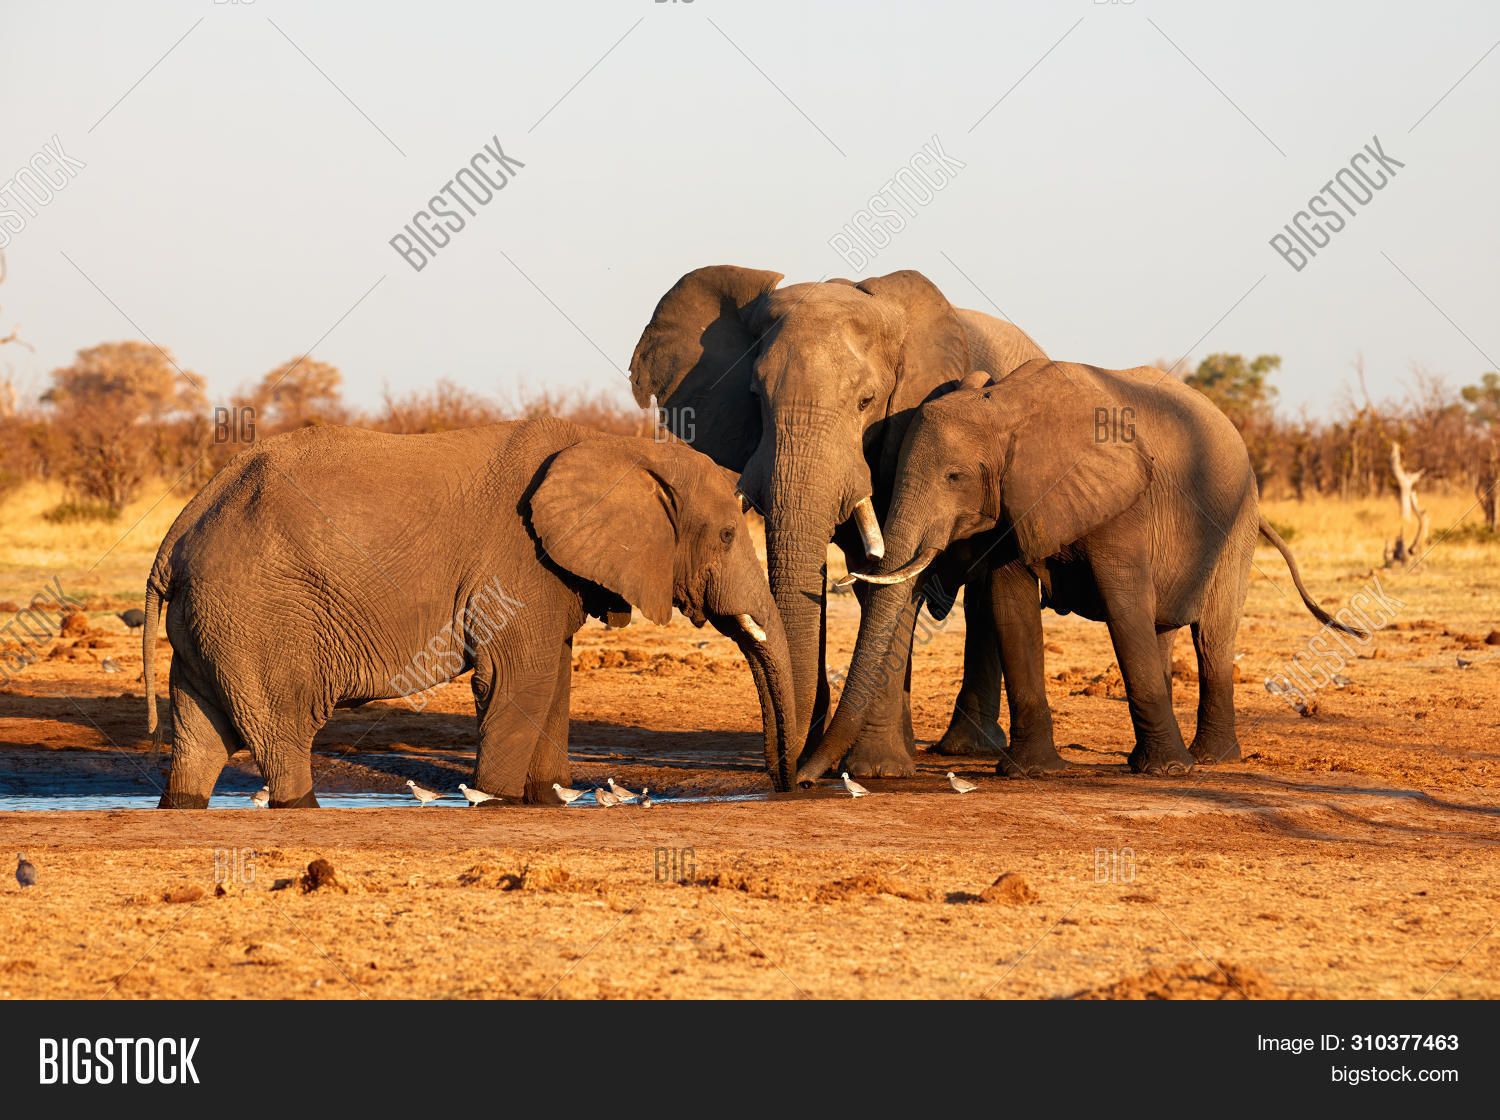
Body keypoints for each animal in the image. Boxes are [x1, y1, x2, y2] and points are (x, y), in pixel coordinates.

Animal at [143, 417, 796, 808]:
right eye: (727, 535)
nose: (790, 786)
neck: (618, 443)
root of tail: (177, 532)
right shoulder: (518, 563)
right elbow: (514, 678)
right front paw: (496, 800)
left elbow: (552, 680)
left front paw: (546, 797)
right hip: (257, 615)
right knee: (285, 734)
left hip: (212, 621)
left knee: (199, 737)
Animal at [630, 265, 1046, 777]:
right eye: (755, 397)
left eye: (867, 401)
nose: (789, 775)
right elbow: (856, 575)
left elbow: (894, 576)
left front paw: (874, 770)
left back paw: (965, 749)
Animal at [796, 360, 1362, 784]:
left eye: (955, 477)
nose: (800, 779)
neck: (1006, 407)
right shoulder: (1014, 502)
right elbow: (1011, 606)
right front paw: (1033, 773)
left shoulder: (1121, 500)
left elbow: (1123, 601)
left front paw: (1168, 773)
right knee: (1161, 628)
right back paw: (1150, 758)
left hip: (1237, 523)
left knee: (1211, 635)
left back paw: (1207, 760)